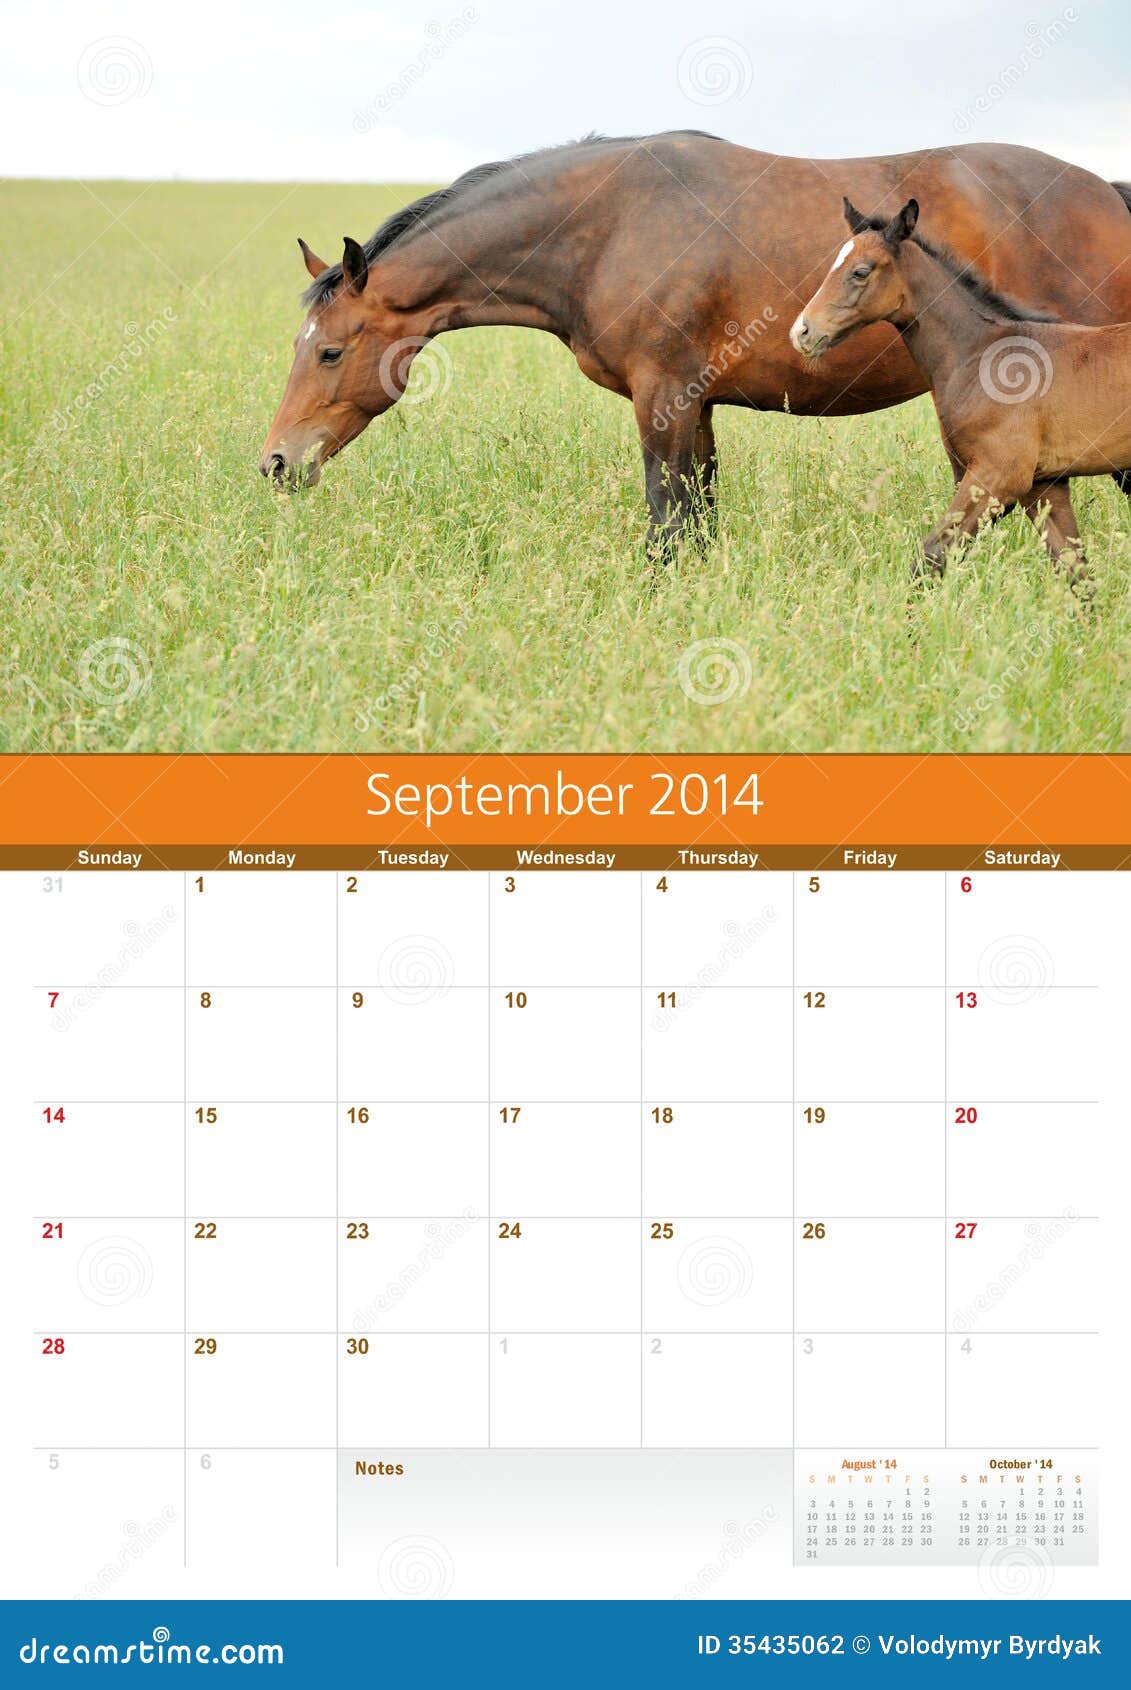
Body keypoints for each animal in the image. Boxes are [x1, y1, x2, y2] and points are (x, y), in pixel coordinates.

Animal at [258, 131, 1131, 555]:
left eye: (330, 352)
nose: (274, 462)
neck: (607, 223)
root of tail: (1105, 191)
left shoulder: (664, 398)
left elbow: (666, 521)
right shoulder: (697, 405)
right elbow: (699, 515)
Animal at [789, 194, 1131, 599]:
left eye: (860, 271)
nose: (803, 332)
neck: (980, 353)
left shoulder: (998, 475)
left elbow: (931, 556)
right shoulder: (1044, 485)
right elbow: (1075, 572)